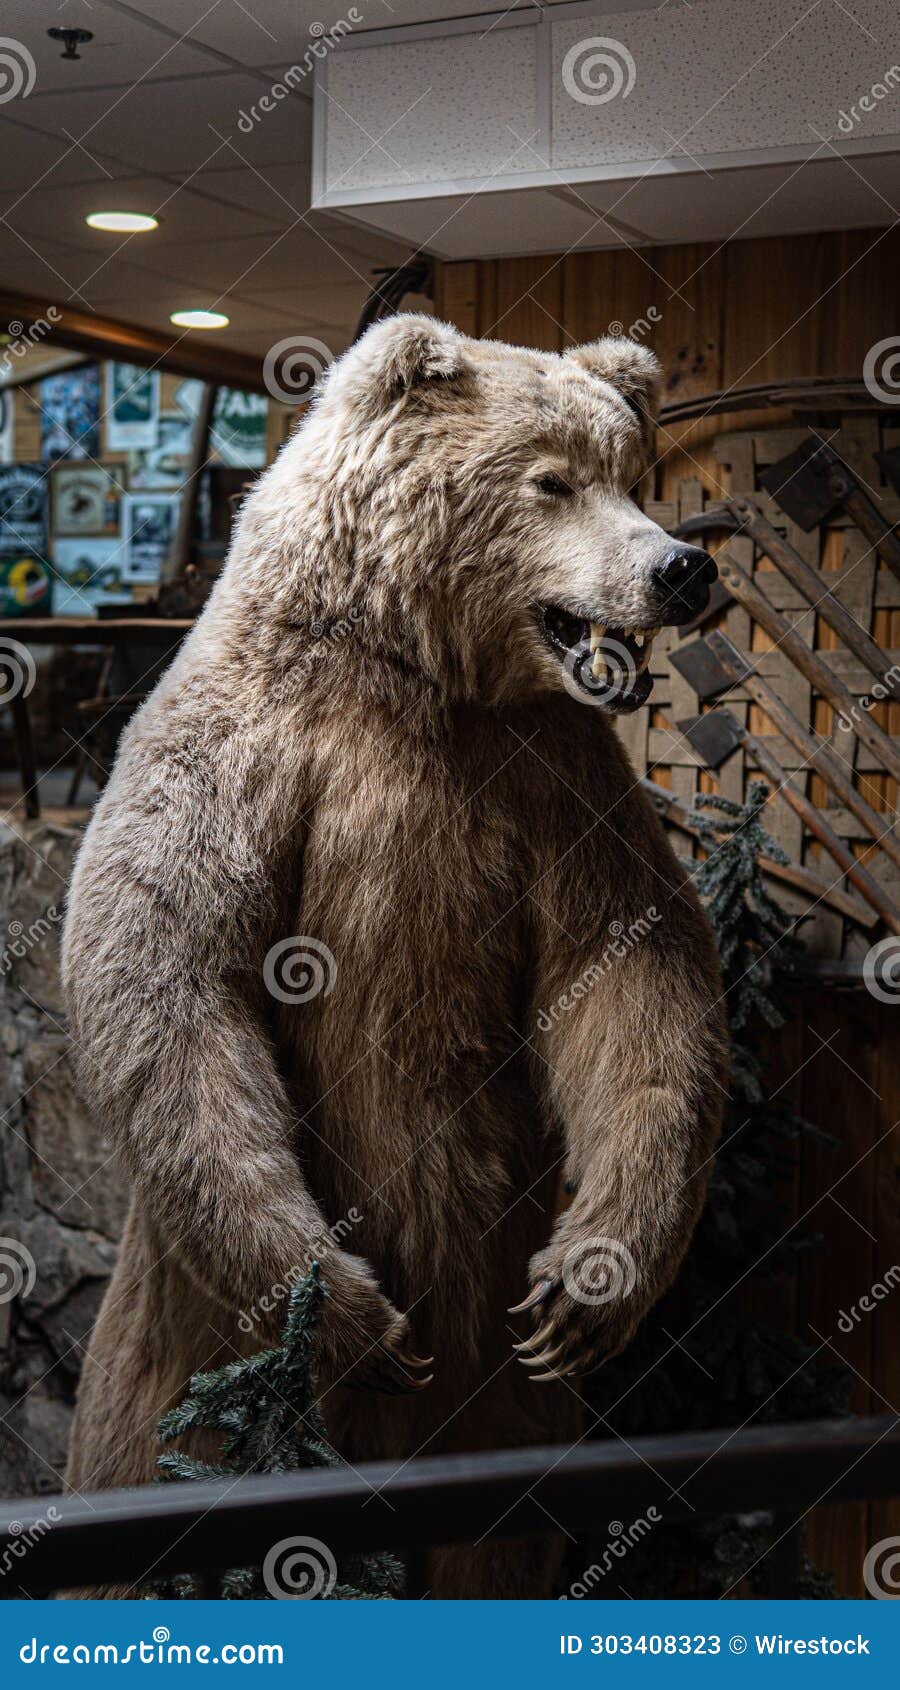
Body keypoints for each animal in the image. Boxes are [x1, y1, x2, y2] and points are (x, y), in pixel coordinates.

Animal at [62, 315, 728, 1599]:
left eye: (634, 472)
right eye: (552, 480)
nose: (682, 568)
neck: (412, 667)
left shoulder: (558, 784)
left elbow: (633, 973)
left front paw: (590, 1282)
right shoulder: (244, 750)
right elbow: (171, 973)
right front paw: (346, 1309)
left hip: (499, 1367)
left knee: (506, 1518)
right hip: (178, 1346)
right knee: (138, 1450)